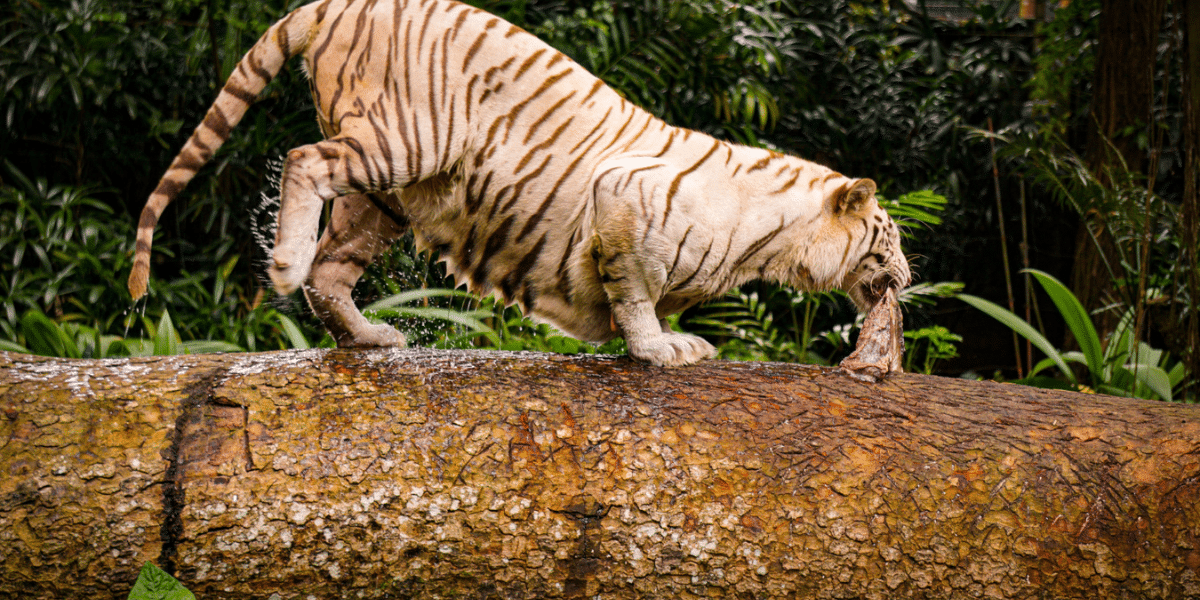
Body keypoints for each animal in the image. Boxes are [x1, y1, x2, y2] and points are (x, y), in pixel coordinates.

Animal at [127, 0, 911, 367]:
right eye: (889, 239)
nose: (907, 278)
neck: (770, 247)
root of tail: (334, 6)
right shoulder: (622, 201)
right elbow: (637, 297)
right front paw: (659, 350)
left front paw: (668, 344)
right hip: (406, 141)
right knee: (303, 162)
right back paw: (284, 265)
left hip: (383, 200)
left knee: (332, 270)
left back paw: (371, 337)